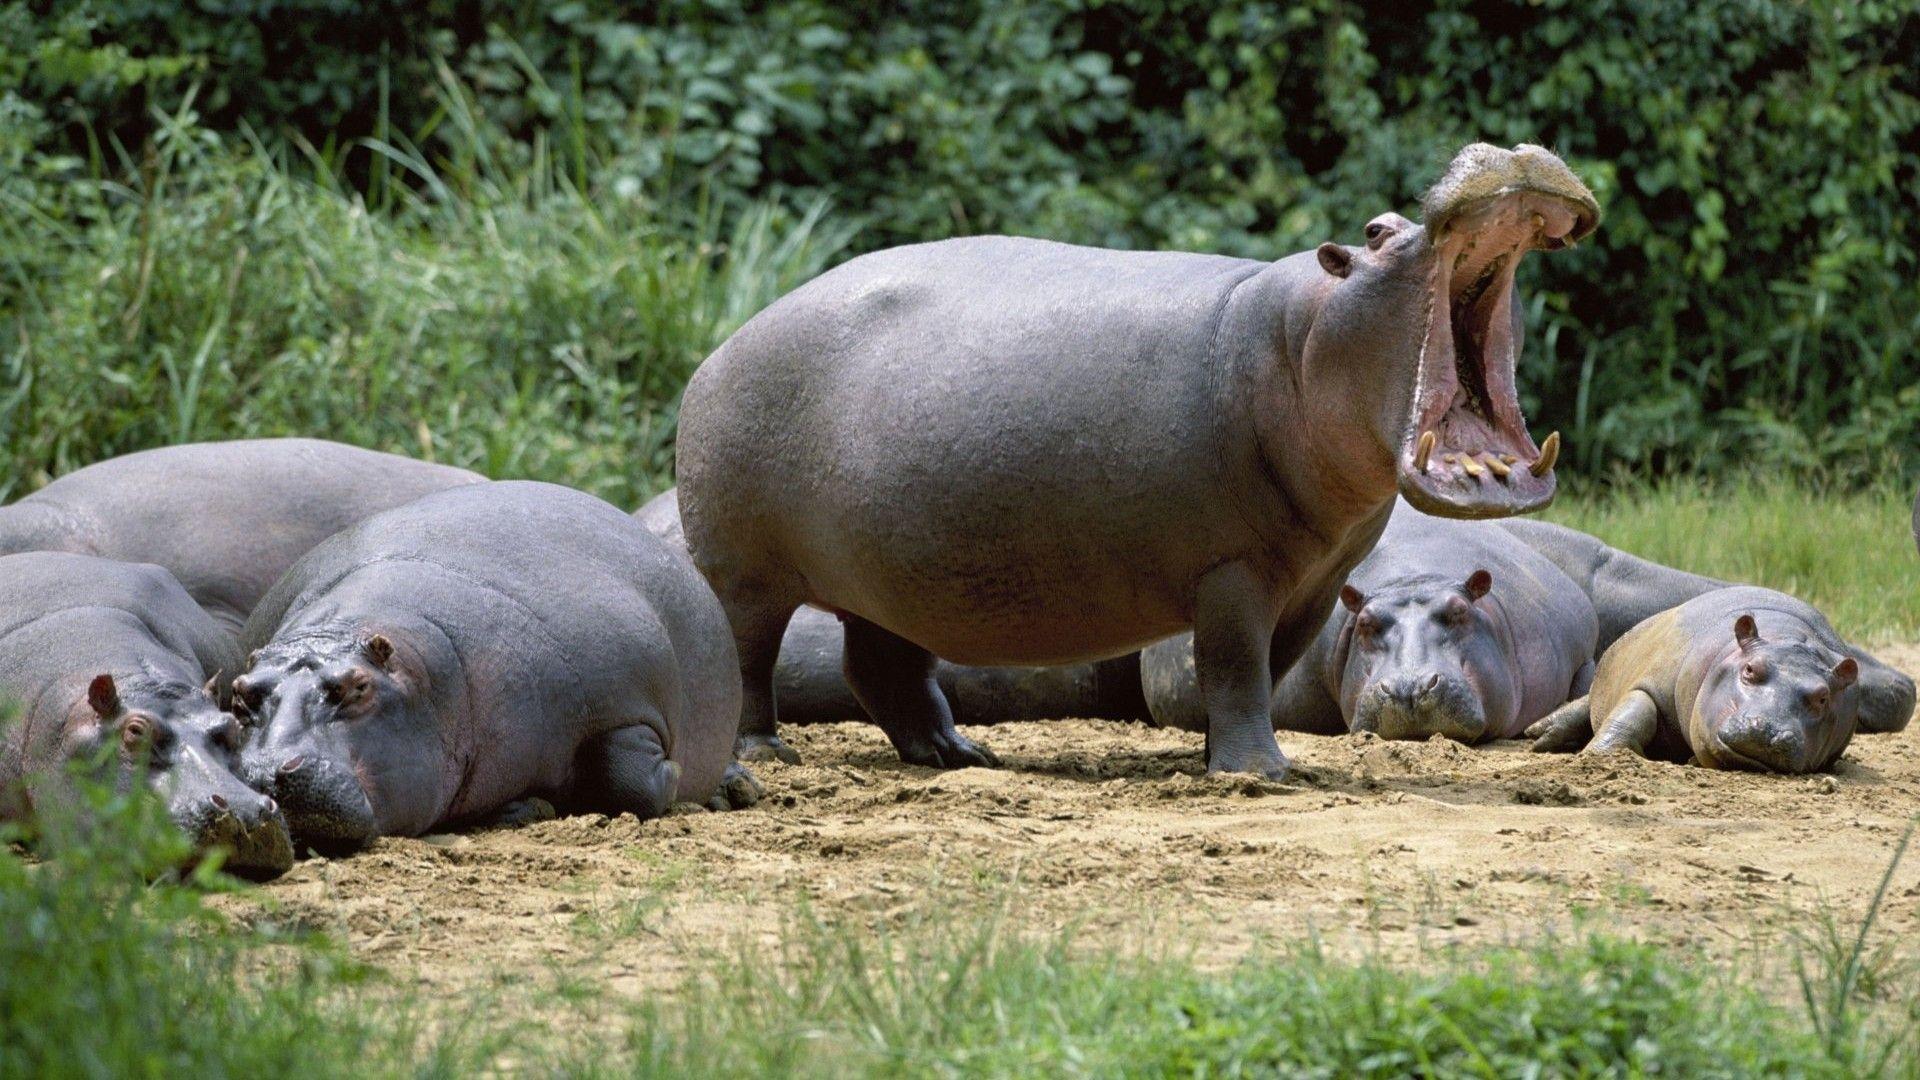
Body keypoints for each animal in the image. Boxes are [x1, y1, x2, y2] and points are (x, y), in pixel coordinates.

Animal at [234, 481, 754, 849]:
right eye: (240, 694)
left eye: (358, 687)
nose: (265, 773)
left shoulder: (627, 699)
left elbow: (629, 780)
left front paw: (677, 774)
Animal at [1528, 586, 1867, 772]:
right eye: (1750, 669)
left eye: (1822, 697)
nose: (1768, 729)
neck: (1788, 638)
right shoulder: (1655, 680)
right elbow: (1633, 712)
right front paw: (1600, 756)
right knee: (1585, 705)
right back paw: (1539, 736)